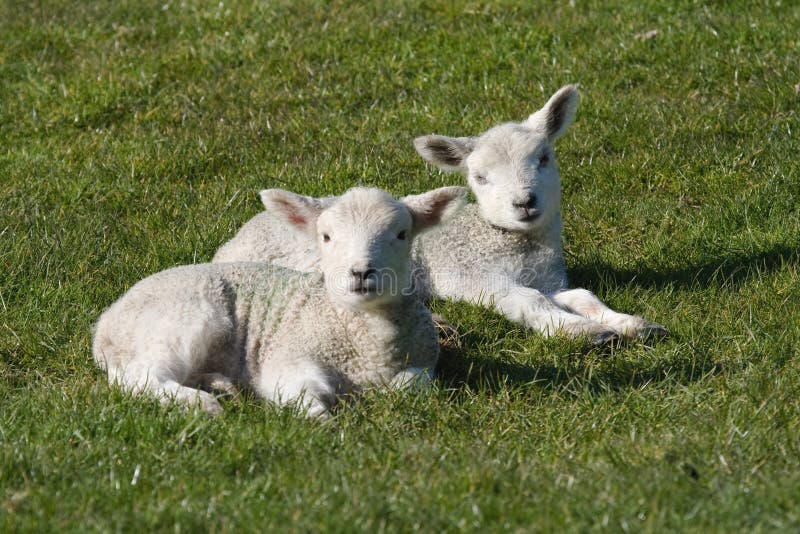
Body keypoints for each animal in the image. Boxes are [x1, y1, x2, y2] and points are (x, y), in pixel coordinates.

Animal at [93, 185, 467, 416]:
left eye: (402, 234)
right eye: (325, 237)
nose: (361, 272)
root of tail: (105, 326)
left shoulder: (423, 364)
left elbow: (409, 387)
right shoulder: (290, 356)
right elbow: (301, 396)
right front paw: (324, 422)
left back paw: (220, 386)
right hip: (180, 321)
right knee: (138, 377)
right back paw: (202, 404)